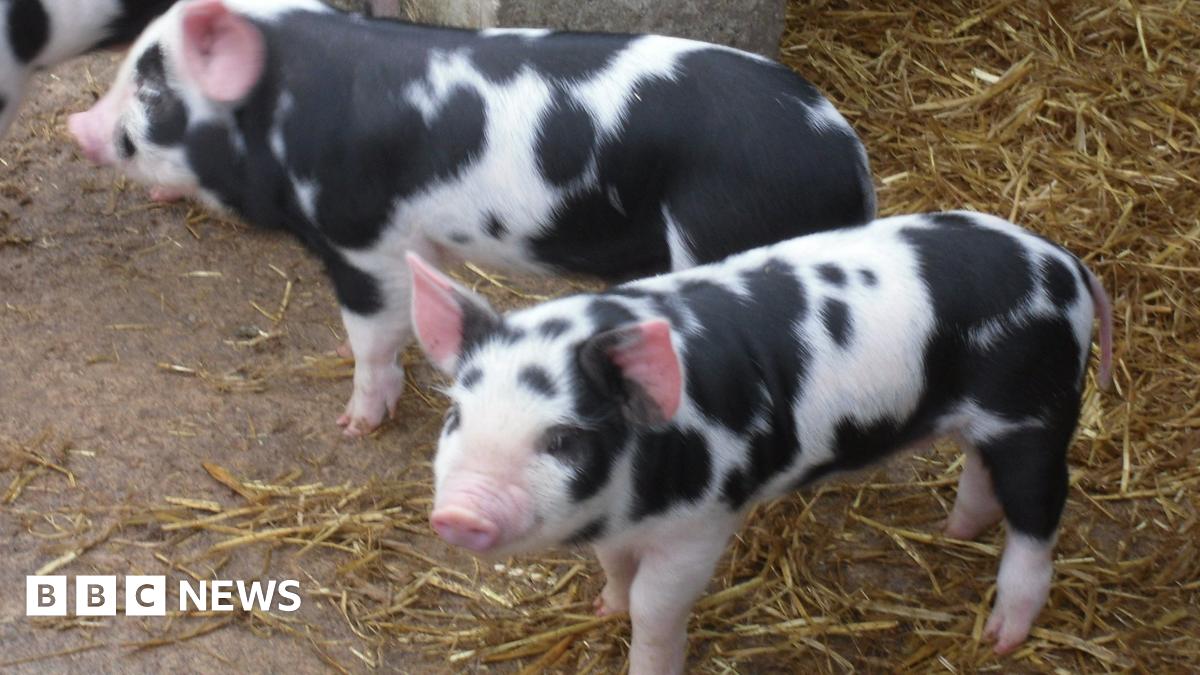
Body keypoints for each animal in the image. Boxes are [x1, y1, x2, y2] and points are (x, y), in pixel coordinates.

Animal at [66, 0, 876, 436]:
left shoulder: (363, 243)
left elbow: (371, 338)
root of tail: (848, 158)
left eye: (152, 89)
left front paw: (355, 424)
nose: (77, 126)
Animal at [409, 211, 1114, 674]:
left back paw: (1001, 638)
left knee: (1037, 516)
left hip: (1035, 412)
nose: (458, 514)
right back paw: (954, 532)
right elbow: (614, 569)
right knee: (979, 468)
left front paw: (641, 648)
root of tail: (1065, 264)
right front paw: (604, 608)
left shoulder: (701, 524)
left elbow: (655, 607)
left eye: (561, 437)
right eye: (456, 416)